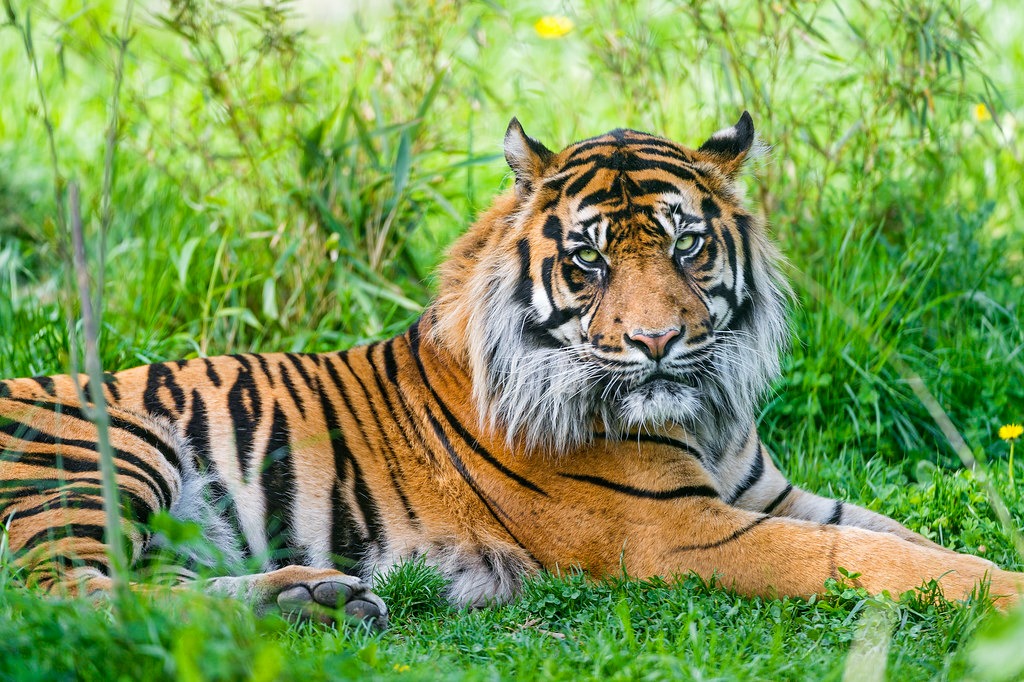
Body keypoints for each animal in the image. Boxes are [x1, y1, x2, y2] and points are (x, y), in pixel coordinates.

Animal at [1, 113, 1021, 628]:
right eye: (589, 260)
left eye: (687, 246)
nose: (657, 343)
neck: (703, 417)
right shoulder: (684, 534)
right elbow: (878, 559)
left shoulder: (768, 495)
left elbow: (905, 538)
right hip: (105, 453)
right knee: (59, 595)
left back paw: (311, 598)